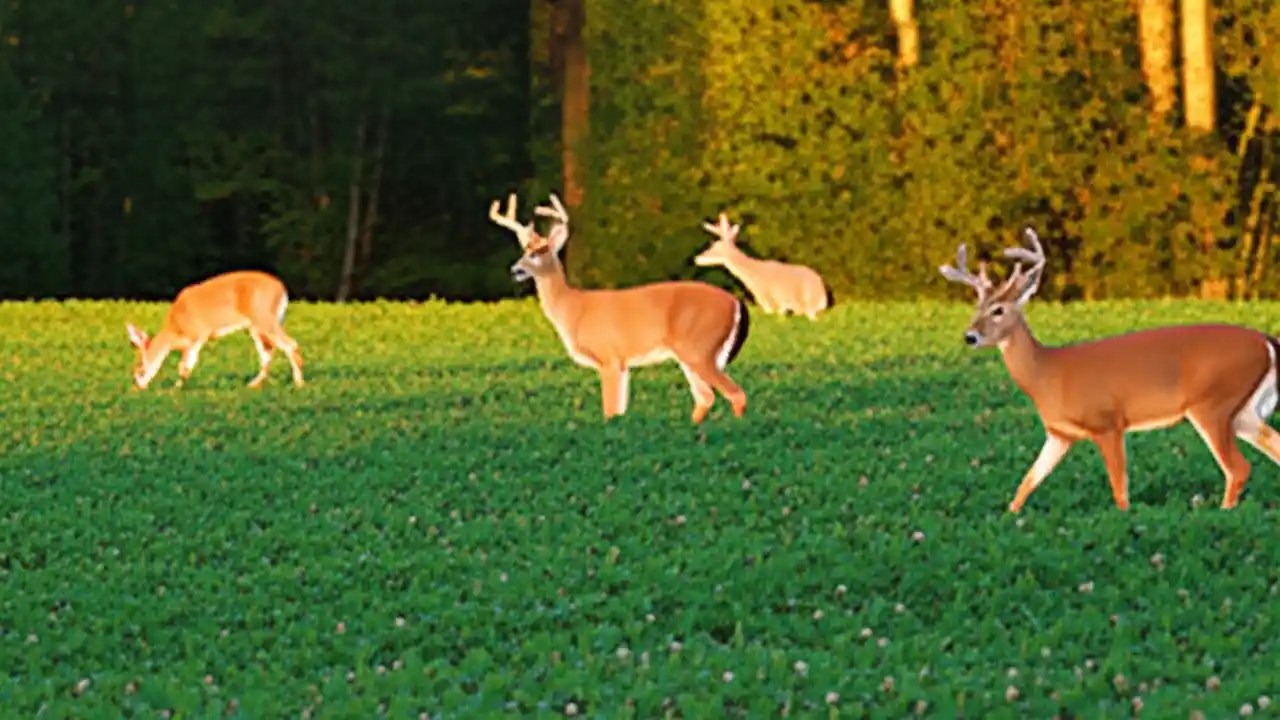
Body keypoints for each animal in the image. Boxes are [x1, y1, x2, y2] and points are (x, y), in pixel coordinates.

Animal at [125, 270, 305, 391]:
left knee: (290, 344)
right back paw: (253, 384)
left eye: (138, 367)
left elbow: (186, 365)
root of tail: (282, 290)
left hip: (263, 317)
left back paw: (299, 383)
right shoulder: (189, 342)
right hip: (256, 326)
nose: (136, 387)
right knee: (268, 353)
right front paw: (179, 385)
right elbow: (184, 365)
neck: (175, 330)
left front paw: (176, 388)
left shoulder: (198, 333)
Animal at [488, 192, 750, 424]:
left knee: (735, 394)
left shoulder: (609, 357)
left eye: (540, 251)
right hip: (693, 354)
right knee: (705, 397)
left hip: (700, 347)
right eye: (525, 251)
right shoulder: (622, 364)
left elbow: (610, 411)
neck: (573, 307)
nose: (516, 270)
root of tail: (736, 303)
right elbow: (620, 410)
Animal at [694, 212, 831, 320]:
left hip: (806, 303)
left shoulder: (771, 300)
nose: (697, 258)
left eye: (715, 246)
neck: (754, 275)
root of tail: (823, 294)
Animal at [939, 227, 1280, 513]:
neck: (1048, 373)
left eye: (999, 310)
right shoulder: (1059, 434)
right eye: (977, 308)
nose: (970, 336)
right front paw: (1008, 518)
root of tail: (1267, 341)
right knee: (1272, 447)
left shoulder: (1107, 422)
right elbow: (1027, 482)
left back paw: (1222, 515)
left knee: (1238, 468)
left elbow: (1119, 488)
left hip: (1213, 403)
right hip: (1243, 412)